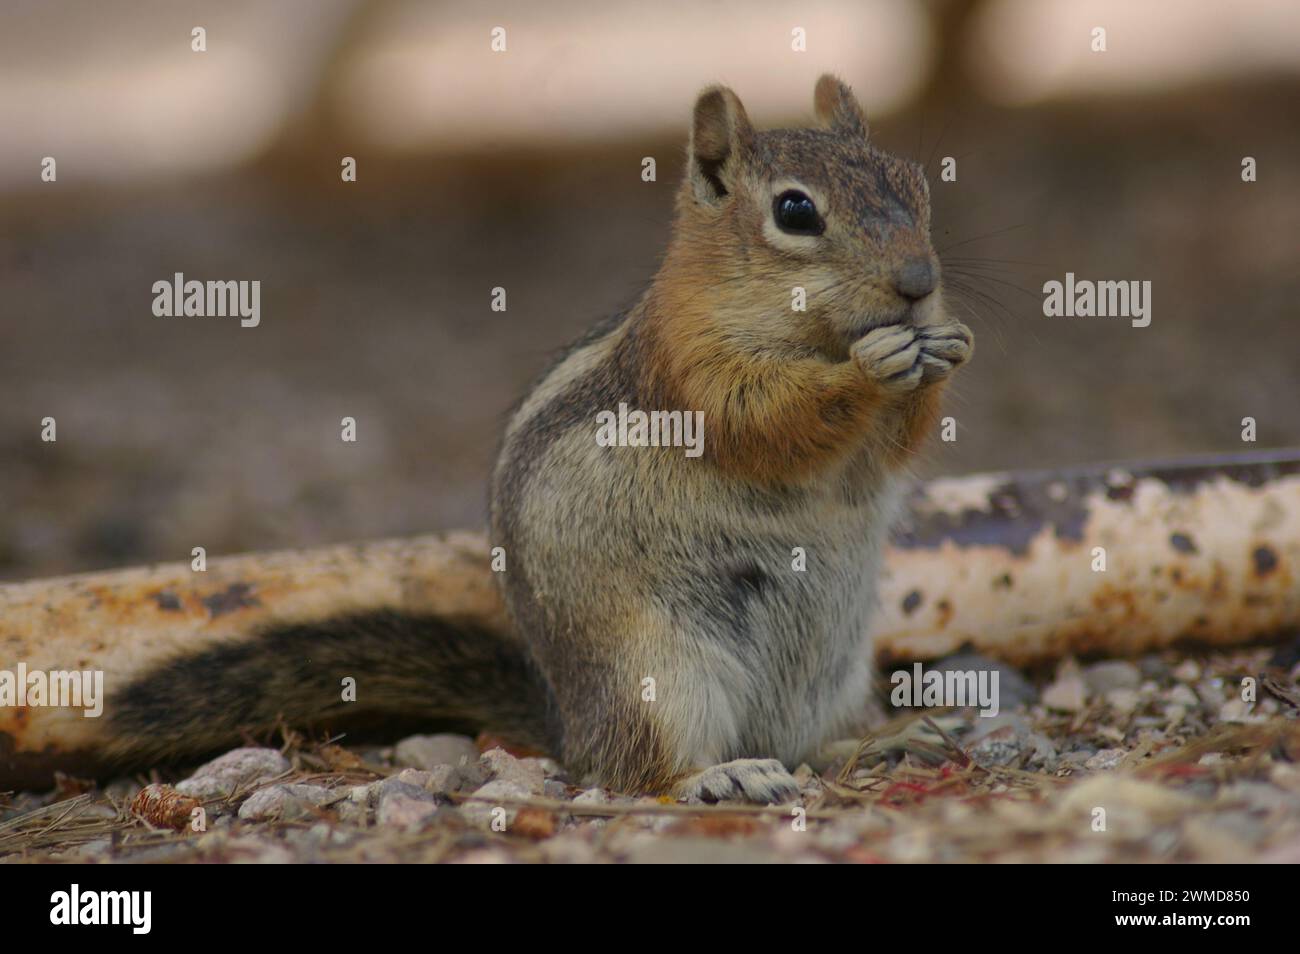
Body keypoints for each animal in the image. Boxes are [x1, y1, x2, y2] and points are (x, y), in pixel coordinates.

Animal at [103, 75, 972, 803]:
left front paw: (948, 345)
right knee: (632, 770)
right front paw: (869, 369)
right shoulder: (690, 371)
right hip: (656, 674)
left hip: (833, 673)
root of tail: (567, 723)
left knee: (804, 746)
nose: (920, 285)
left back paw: (887, 739)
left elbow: (891, 447)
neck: (803, 328)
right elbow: (765, 421)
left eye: (918, 183)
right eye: (796, 212)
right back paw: (717, 776)